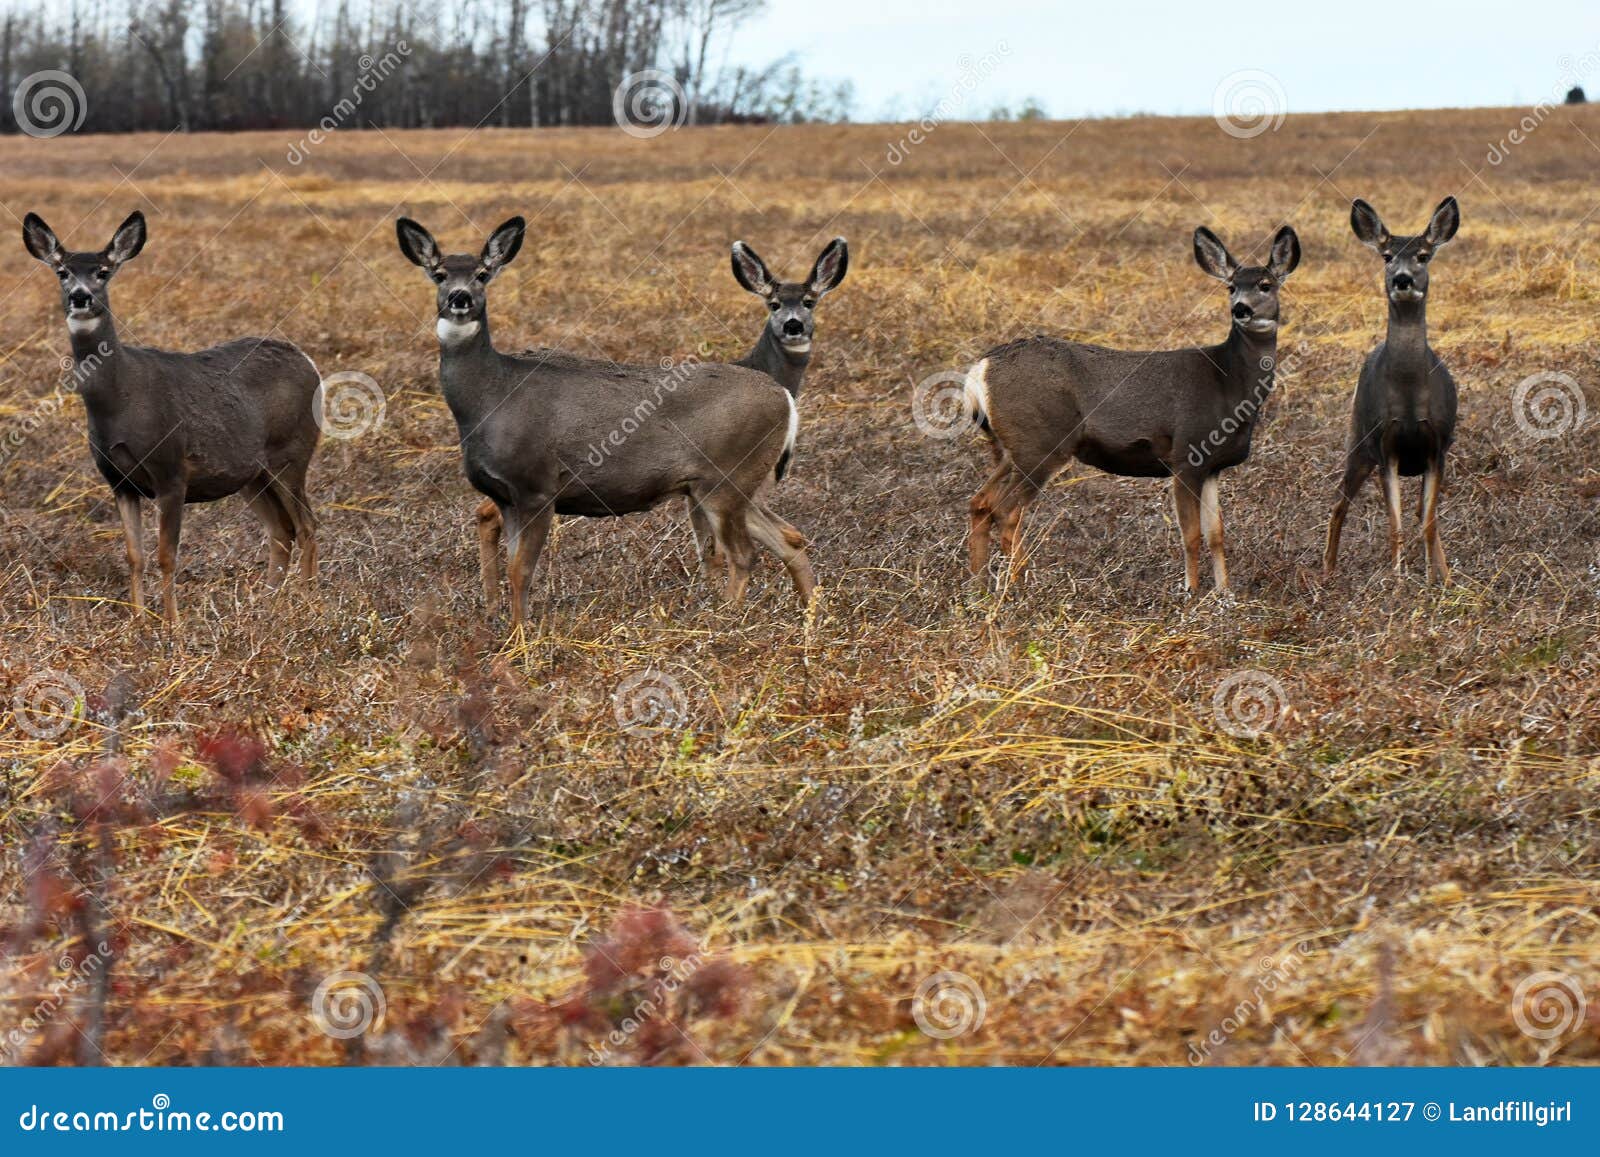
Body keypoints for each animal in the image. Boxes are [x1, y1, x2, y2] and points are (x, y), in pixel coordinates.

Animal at [22, 210, 320, 624]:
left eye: (103, 271)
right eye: (62, 271)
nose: (80, 296)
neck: (119, 402)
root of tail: (309, 362)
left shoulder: (172, 470)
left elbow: (167, 556)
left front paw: (173, 625)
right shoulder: (119, 481)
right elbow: (134, 556)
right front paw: (138, 621)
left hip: (292, 452)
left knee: (307, 525)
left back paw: (305, 603)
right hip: (251, 473)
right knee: (282, 530)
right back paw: (267, 604)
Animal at [963, 223, 1301, 594]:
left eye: (1265, 285)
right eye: (1231, 287)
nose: (1241, 309)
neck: (1227, 381)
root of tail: (980, 369)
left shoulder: (1214, 466)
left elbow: (1217, 534)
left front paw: (1225, 594)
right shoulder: (1187, 455)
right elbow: (1191, 535)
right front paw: (1191, 593)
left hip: (1009, 447)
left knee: (980, 502)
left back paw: (978, 585)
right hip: (1040, 444)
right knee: (1007, 512)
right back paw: (1018, 587)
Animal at [1323, 197, 1460, 585]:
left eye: (1424, 255)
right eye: (1386, 256)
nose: (1402, 279)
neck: (1410, 393)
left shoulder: (1438, 446)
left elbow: (1427, 521)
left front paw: (1436, 582)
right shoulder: (1385, 447)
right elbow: (1394, 524)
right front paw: (1397, 583)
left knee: (1422, 514)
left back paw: (1445, 574)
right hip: (1357, 442)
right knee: (1338, 504)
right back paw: (1327, 574)